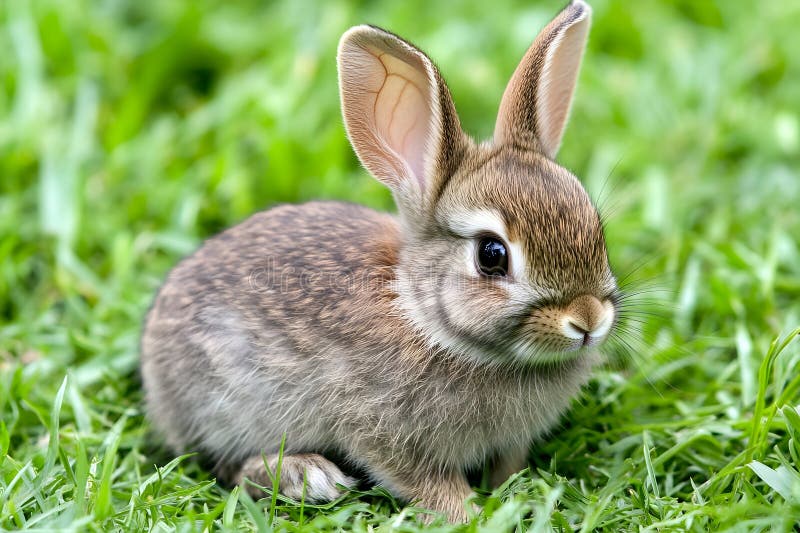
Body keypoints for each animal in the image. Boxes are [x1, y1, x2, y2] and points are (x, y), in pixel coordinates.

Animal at [140, 0, 618, 523]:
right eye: (492, 255)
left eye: (597, 228)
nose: (588, 320)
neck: (424, 317)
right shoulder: (376, 425)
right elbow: (423, 479)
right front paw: (468, 514)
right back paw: (306, 477)